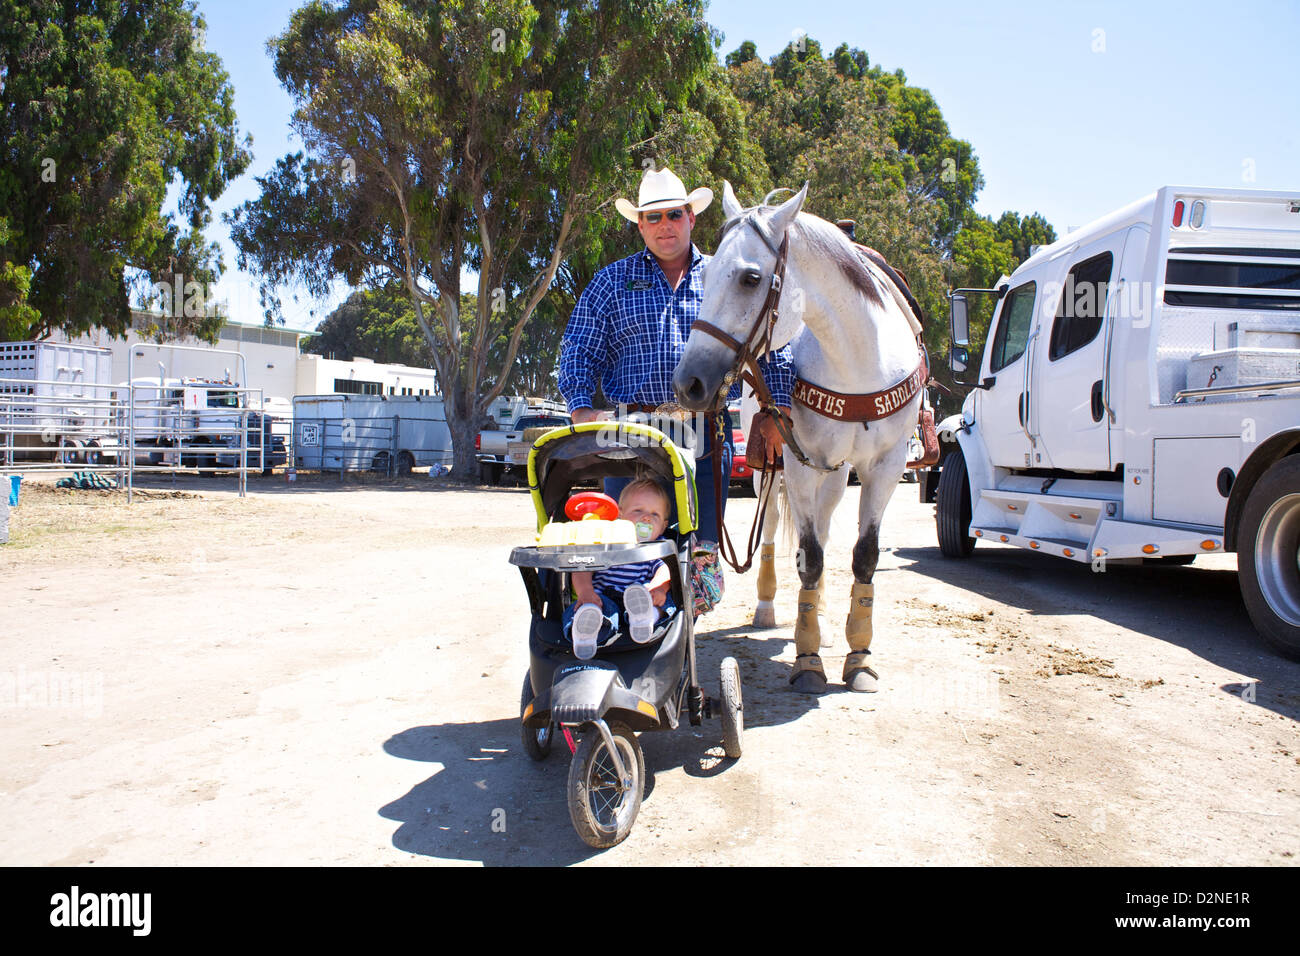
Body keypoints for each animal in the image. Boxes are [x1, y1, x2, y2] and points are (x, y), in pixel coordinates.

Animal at [673, 182, 926, 694]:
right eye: (705, 275)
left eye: (751, 278)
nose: (689, 383)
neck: (857, 361)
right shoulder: (797, 461)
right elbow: (808, 557)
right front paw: (807, 662)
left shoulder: (885, 467)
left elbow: (863, 556)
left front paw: (858, 656)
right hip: (771, 470)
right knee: (771, 530)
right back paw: (769, 608)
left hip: (836, 473)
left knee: (825, 529)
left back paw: (826, 620)